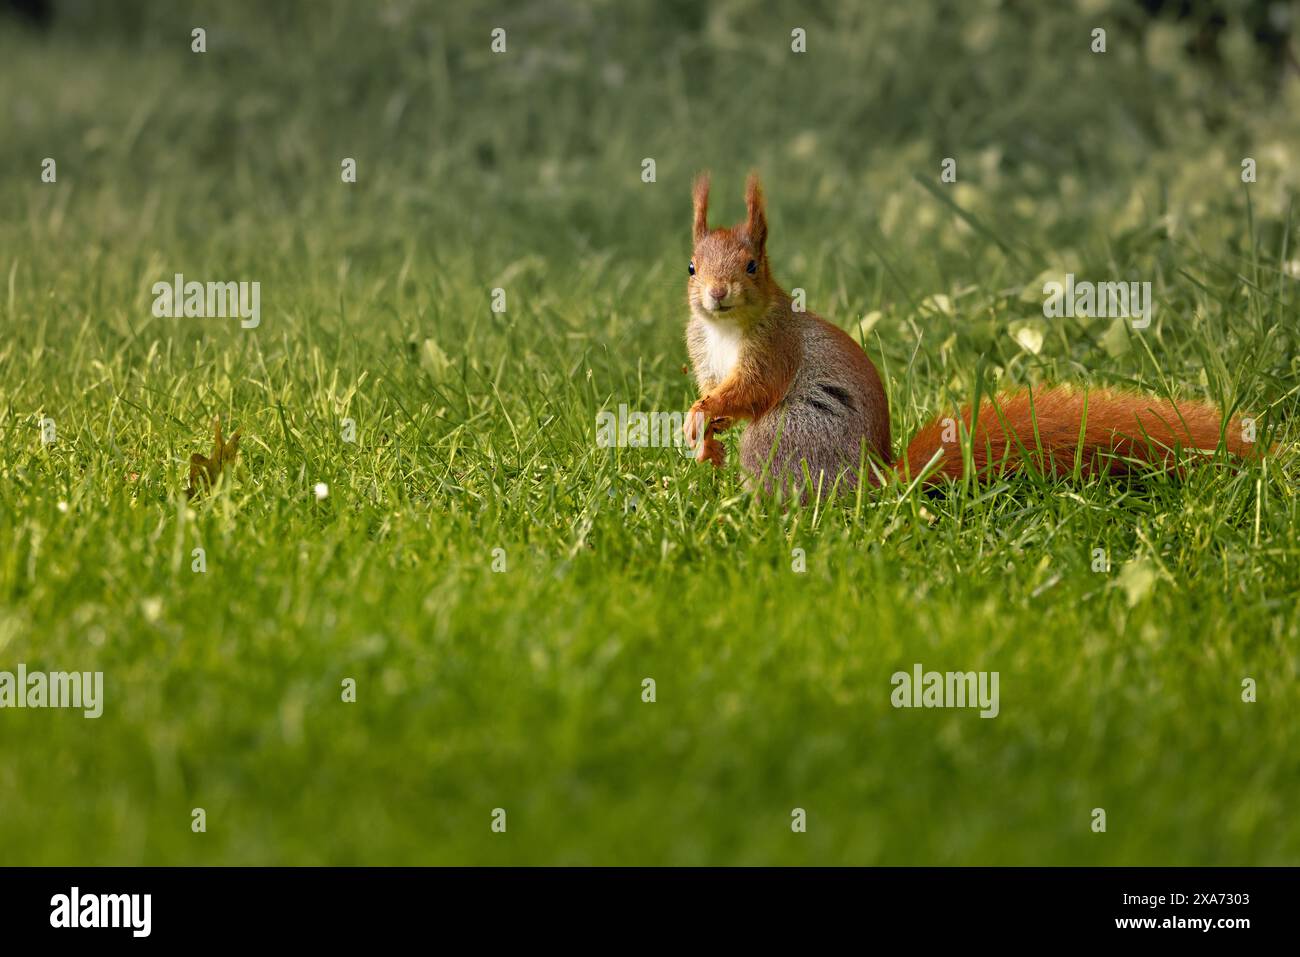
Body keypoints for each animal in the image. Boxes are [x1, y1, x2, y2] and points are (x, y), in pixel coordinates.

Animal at [682, 173, 1259, 497]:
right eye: (691, 267)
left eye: (752, 266)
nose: (717, 293)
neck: (727, 329)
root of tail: (876, 480)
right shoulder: (704, 353)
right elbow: (720, 391)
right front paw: (706, 436)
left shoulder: (775, 346)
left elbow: (754, 390)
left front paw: (702, 416)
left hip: (790, 437)